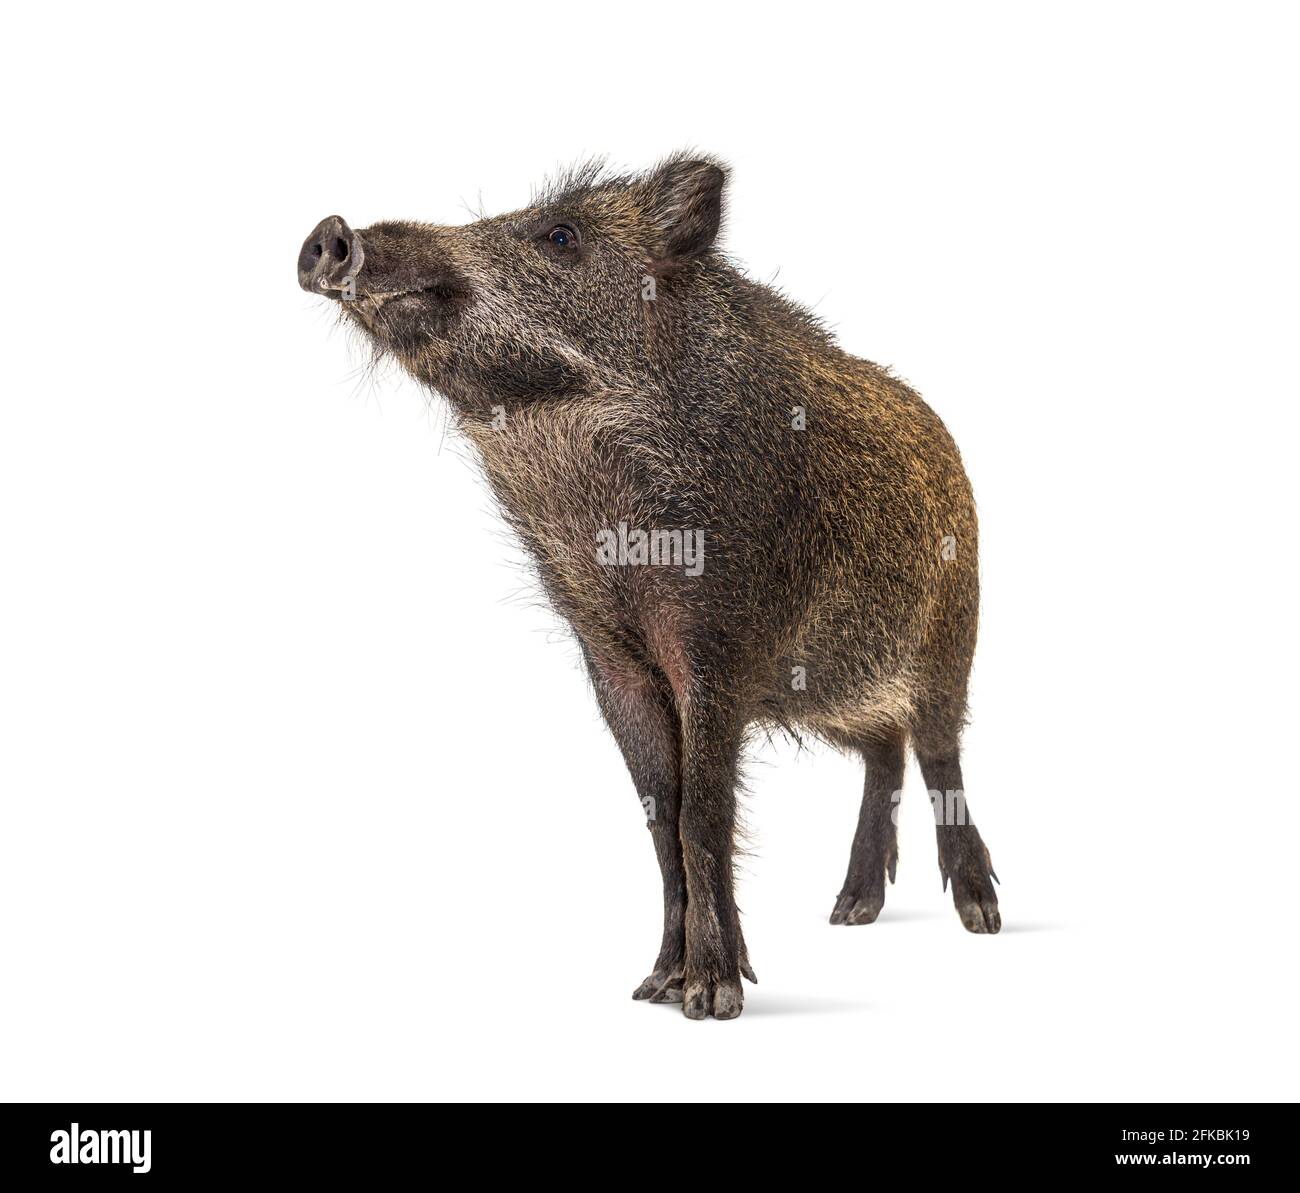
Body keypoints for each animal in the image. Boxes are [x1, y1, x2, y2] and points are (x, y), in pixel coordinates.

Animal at [297, 154, 998, 1020]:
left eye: (561, 235)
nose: (331, 234)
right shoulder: (611, 654)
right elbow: (661, 819)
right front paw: (655, 987)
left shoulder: (720, 639)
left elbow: (702, 811)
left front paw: (713, 998)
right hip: (839, 686)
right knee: (883, 751)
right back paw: (850, 909)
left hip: (950, 639)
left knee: (938, 752)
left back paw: (981, 915)